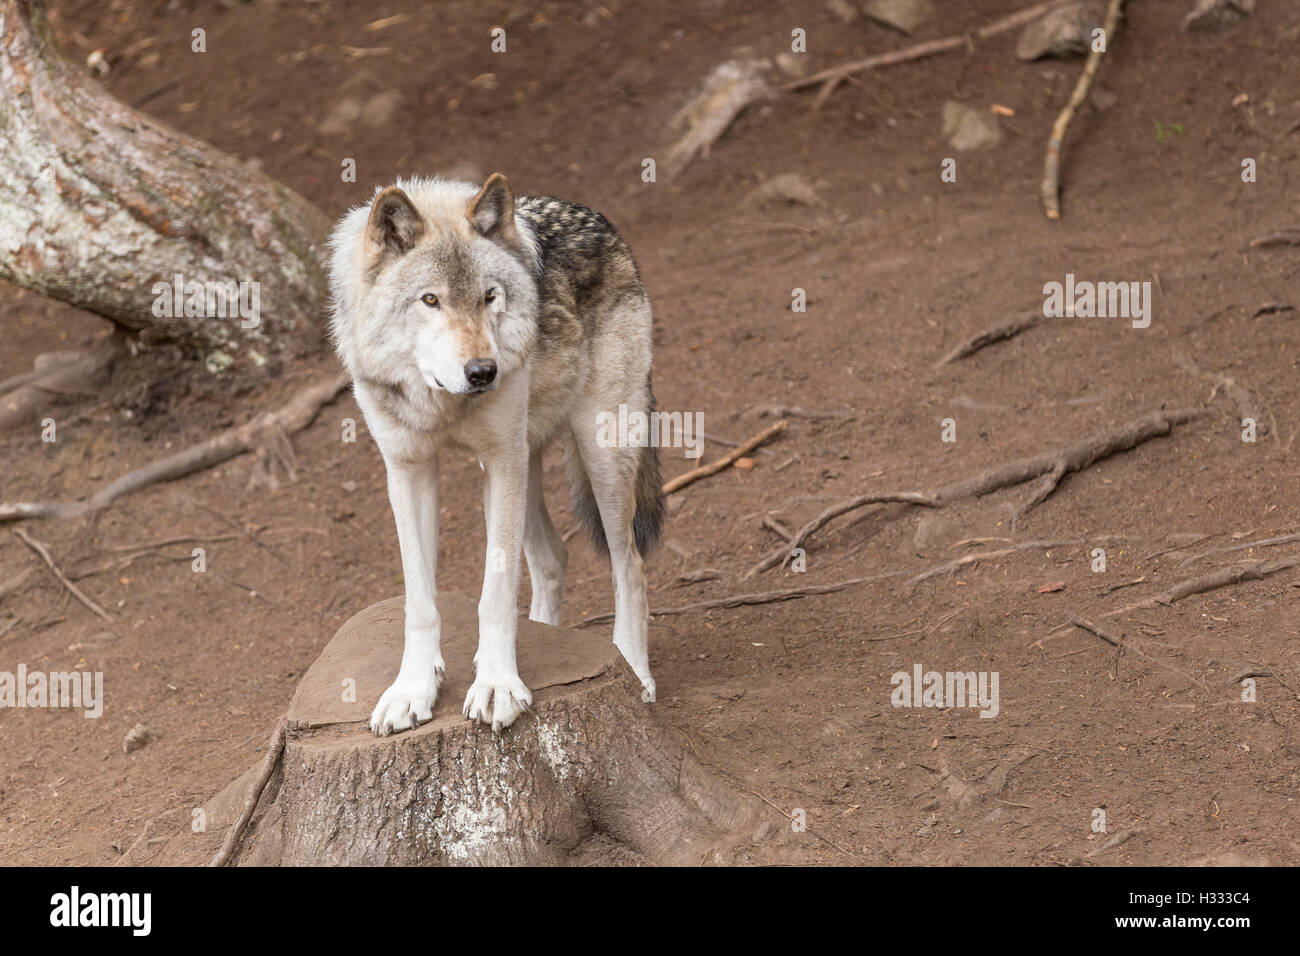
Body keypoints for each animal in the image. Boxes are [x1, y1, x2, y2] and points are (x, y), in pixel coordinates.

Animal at [327, 173, 663, 735]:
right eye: (430, 300)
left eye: (489, 297)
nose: (484, 371)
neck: (441, 402)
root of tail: (601, 220)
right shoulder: (410, 469)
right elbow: (420, 601)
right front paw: (412, 689)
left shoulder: (504, 461)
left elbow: (497, 591)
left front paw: (497, 686)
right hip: (523, 465)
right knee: (552, 559)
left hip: (599, 450)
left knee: (629, 566)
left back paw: (634, 671)